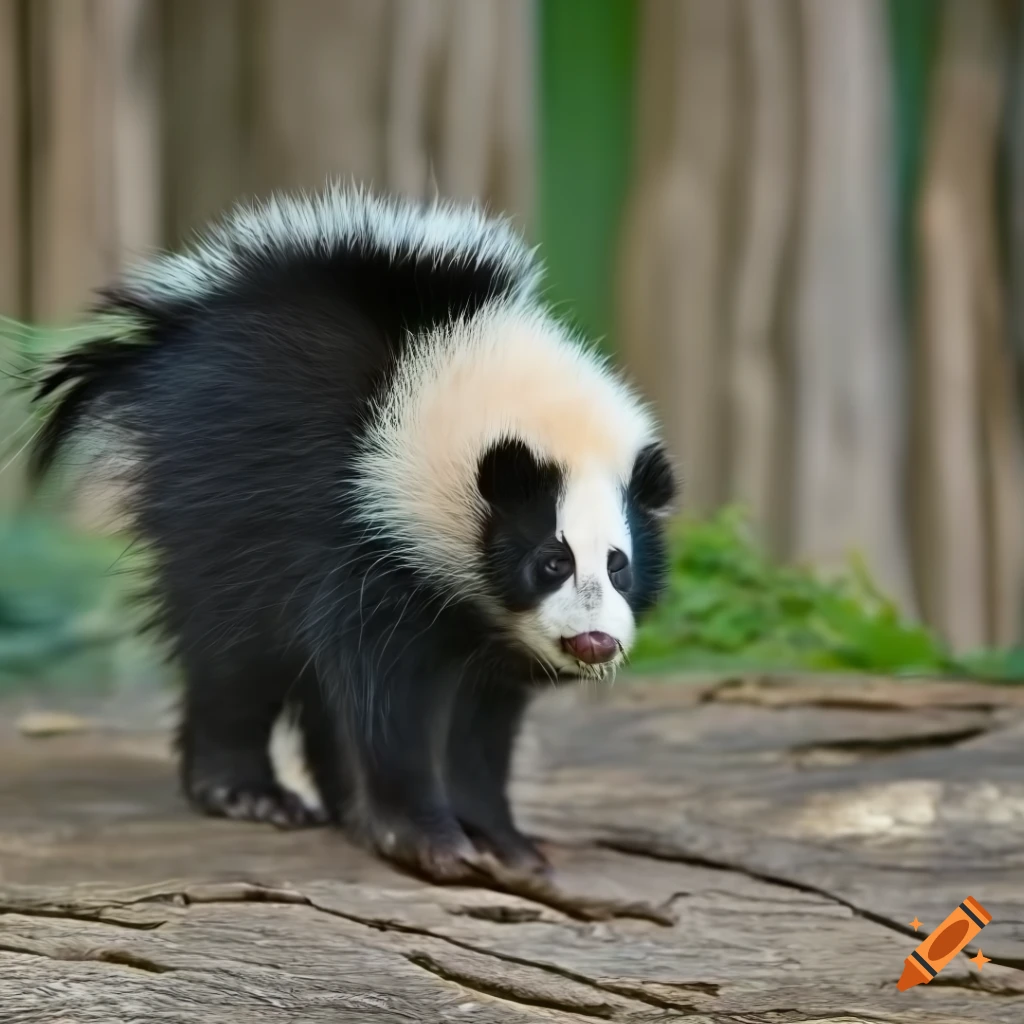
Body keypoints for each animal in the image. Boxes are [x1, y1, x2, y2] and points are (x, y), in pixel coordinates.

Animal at [23, 184, 677, 880]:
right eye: (550, 561)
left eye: (619, 565)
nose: (595, 641)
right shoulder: (358, 527)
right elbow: (386, 694)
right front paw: (425, 838)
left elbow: (479, 723)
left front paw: (503, 841)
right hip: (212, 502)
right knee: (233, 647)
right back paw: (246, 792)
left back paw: (335, 803)